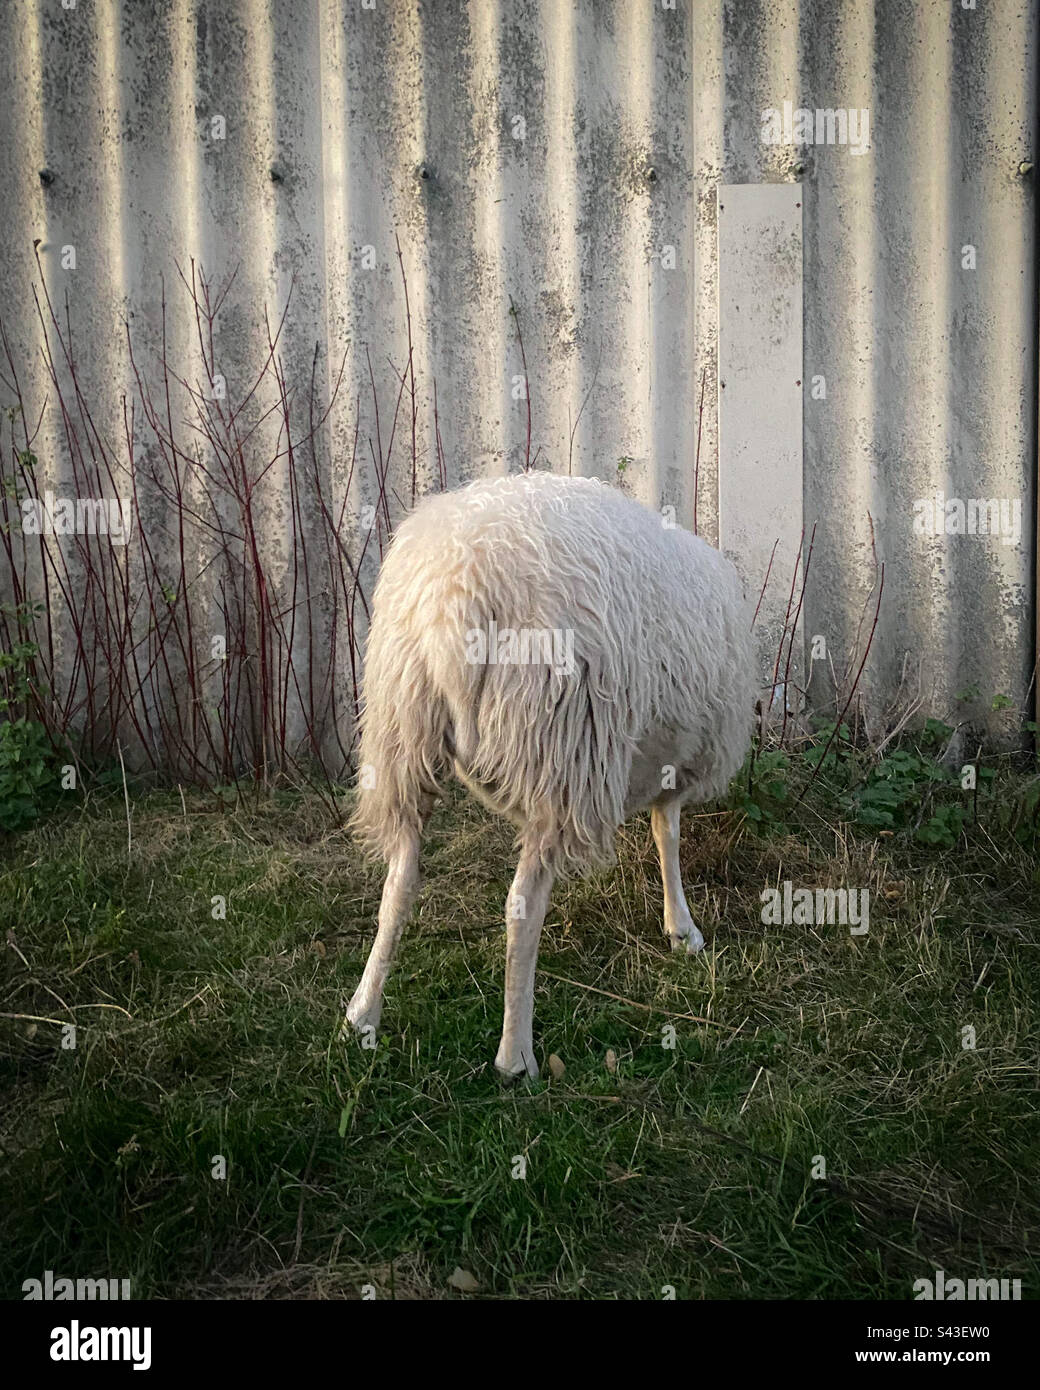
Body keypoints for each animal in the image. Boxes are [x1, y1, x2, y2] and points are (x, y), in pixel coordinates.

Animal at [346, 470, 755, 1078]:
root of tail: (458, 597)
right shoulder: (674, 763)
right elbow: (669, 837)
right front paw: (682, 927)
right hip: (558, 749)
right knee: (521, 906)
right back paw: (516, 1054)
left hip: (402, 738)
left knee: (398, 883)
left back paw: (362, 1014)